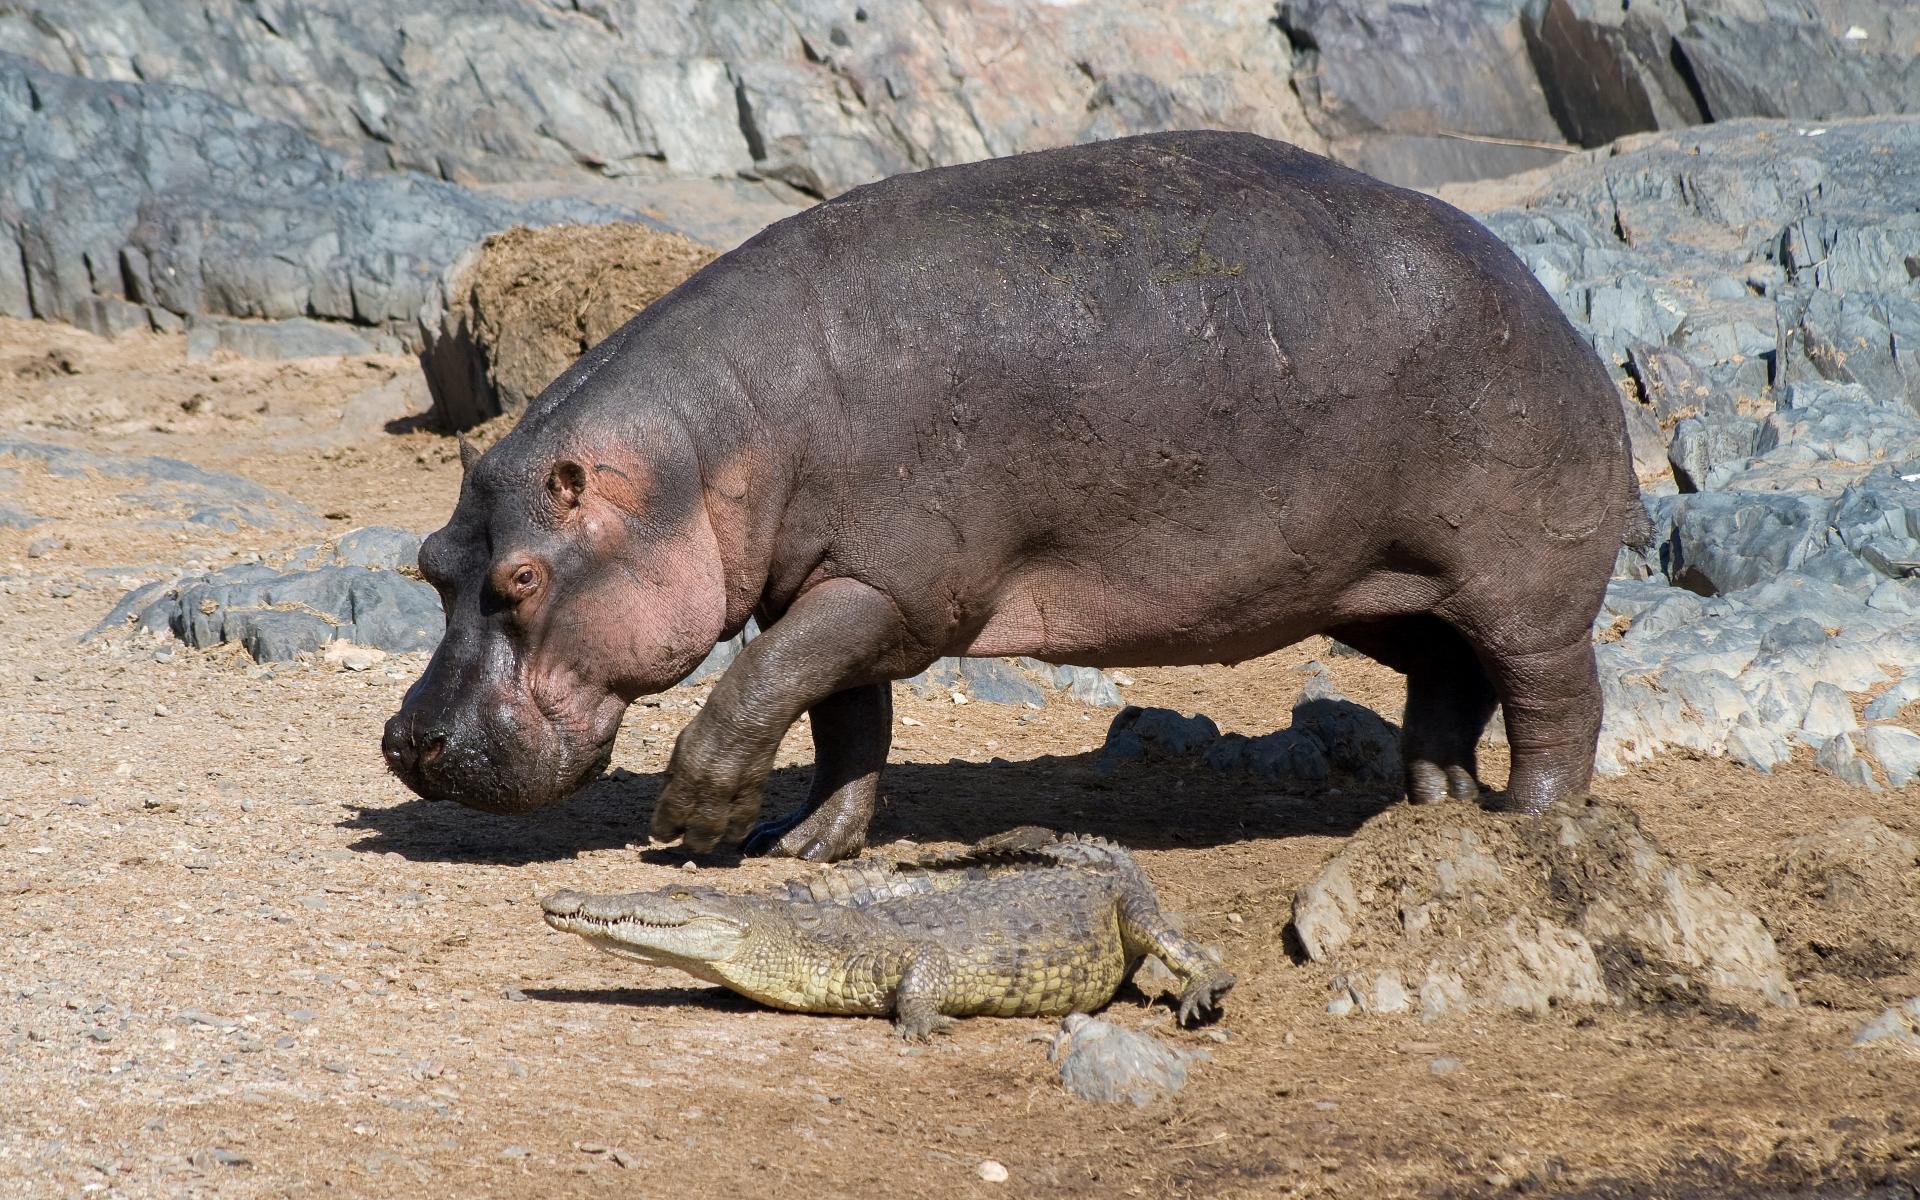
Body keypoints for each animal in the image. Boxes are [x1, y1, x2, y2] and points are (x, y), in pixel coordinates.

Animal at [383, 130, 1648, 862]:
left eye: (522, 576)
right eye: (432, 565)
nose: (406, 741)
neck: (701, 451)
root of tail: (1548, 305)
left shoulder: (888, 587)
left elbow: (760, 688)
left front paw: (697, 825)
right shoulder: (837, 584)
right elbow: (840, 719)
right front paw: (805, 843)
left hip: (1523, 586)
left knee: (1555, 698)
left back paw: (1529, 822)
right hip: (1387, 589)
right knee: (1449, 681)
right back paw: (1433, 806)